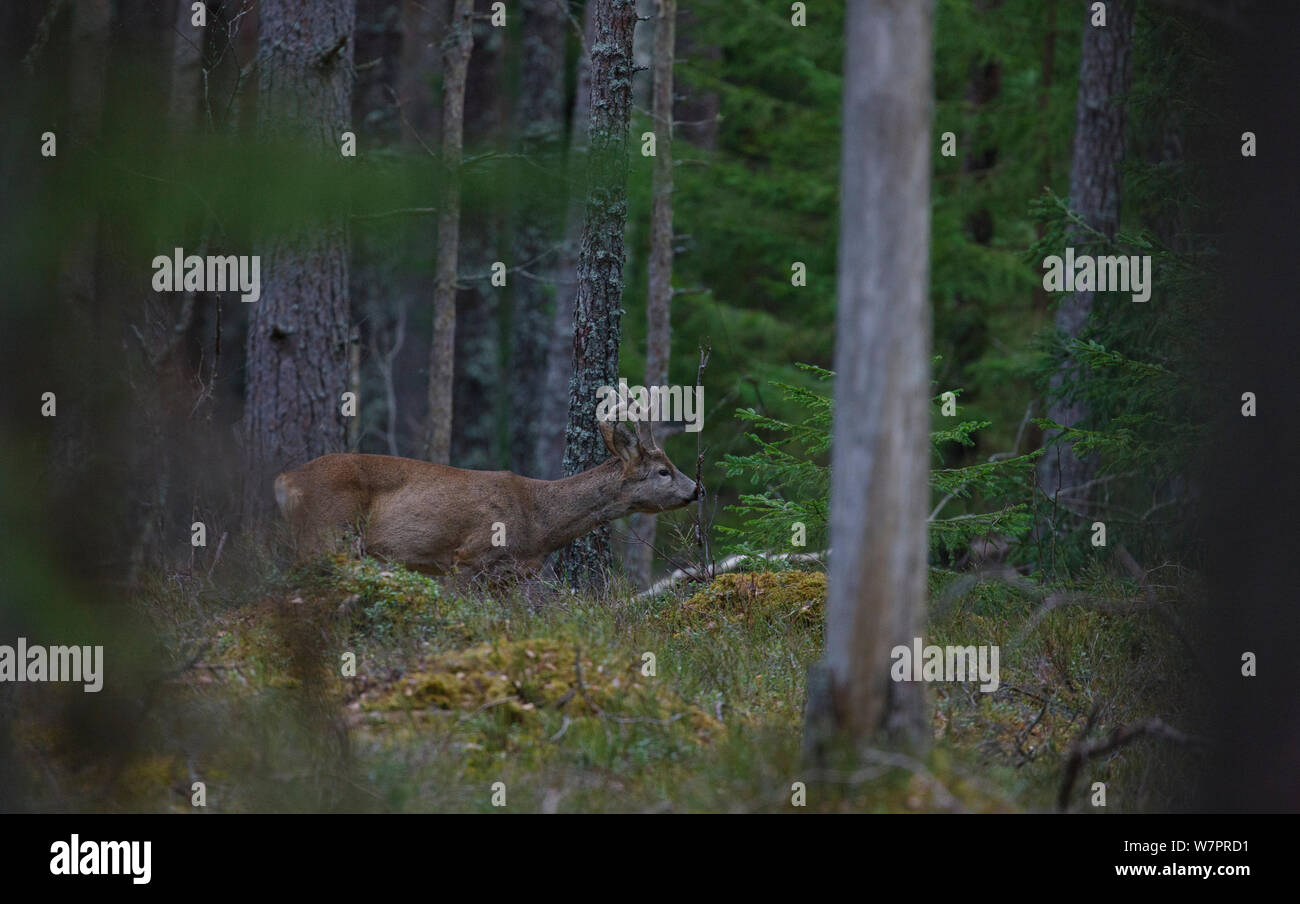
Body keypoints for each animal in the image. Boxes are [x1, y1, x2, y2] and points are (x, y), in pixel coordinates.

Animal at [273, 420, 702, 577]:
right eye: (664, 471)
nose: (698, 489)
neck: (538, 521)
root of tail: (284, 479)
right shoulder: (470, 556)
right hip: (329, 532)